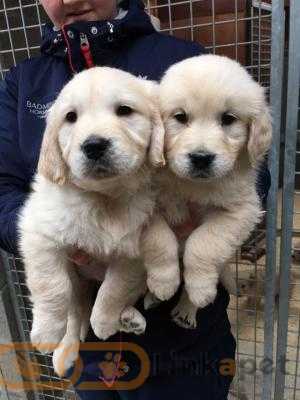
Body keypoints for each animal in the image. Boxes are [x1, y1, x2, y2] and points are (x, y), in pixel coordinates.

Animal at [18, 66, 179, 376]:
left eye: (124, 110)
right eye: (70, 117)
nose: (93, 145)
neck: (104, 198)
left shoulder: (131, 253)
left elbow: (113, 290)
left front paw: (104, 322)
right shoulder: (39, 236)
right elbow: (51, 285)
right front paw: (46, 333)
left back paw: (128, 318)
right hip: (75, 276)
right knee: (75, 307)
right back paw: (65, 350)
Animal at [154, 54, 274, 328]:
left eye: (228, 119)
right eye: (180, 117)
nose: (201, 158)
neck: (194, 185)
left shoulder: (242, 210)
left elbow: (202, 243)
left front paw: (199, 290)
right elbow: (161, 239)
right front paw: (162, 283)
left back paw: (186, 311)